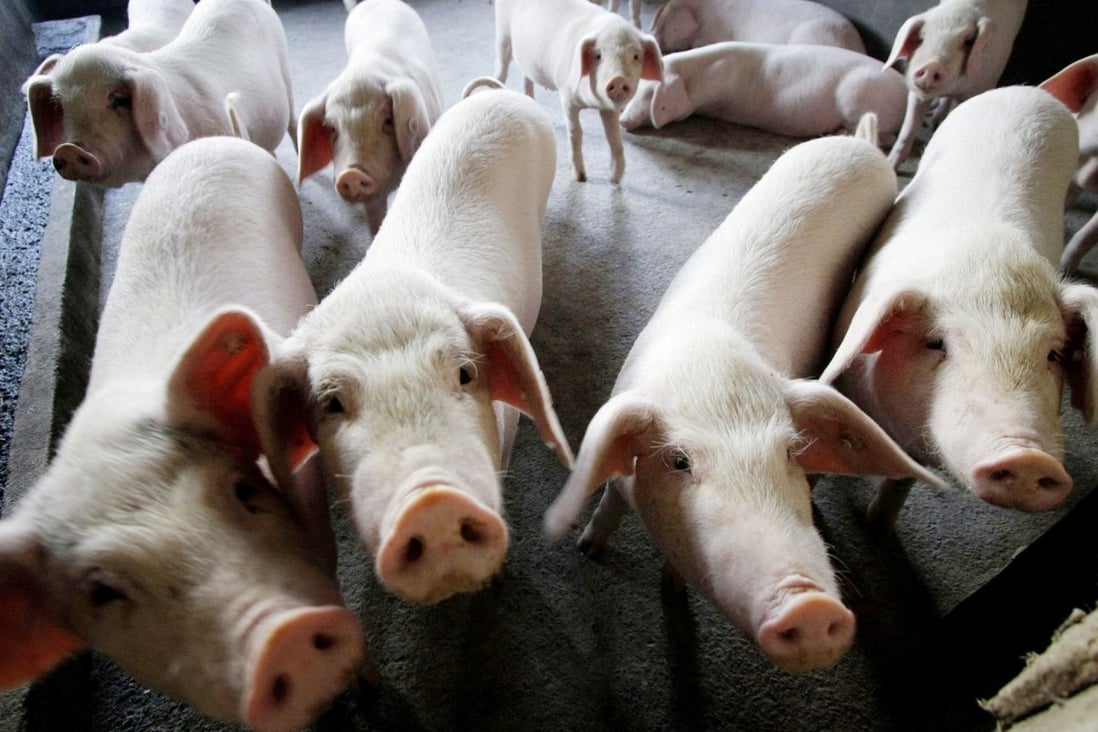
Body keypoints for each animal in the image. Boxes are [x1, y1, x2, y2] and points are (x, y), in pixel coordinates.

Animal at [494, 0, 664, 183]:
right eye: (598, 55)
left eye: (636, 56)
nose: (618, 79)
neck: (591, 103)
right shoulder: (567, 96)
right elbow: (576, 133)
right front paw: (580, 177)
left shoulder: (609, 108)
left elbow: (614, 137)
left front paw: (615, 179)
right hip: (503, 35)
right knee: (502, 68)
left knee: (527, 77)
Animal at [544, 120, 942, 672]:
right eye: (680, 461)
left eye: (790, 452)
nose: (810, 605)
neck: (710, 368)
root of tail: (860, 145)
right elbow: (608, 503)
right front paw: (587, 550)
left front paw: (670, 589)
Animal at [620, 41, 907, 141]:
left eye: (651, 95)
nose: (622, 121)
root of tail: (905, 90)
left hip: (857, 96)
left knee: (885, 134)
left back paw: (838, 133)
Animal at [820, 86, 1093, 533]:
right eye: (937, 343)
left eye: (1052, 354)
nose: (1028, 458)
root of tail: (1030, 92)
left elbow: (900, 481)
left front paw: (879, 524)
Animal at [883, 0, 1028, 168]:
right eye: (921, 38)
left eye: (968, 41)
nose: (932, 65)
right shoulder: (916, 93)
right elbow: (907, 130)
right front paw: (891, 164)